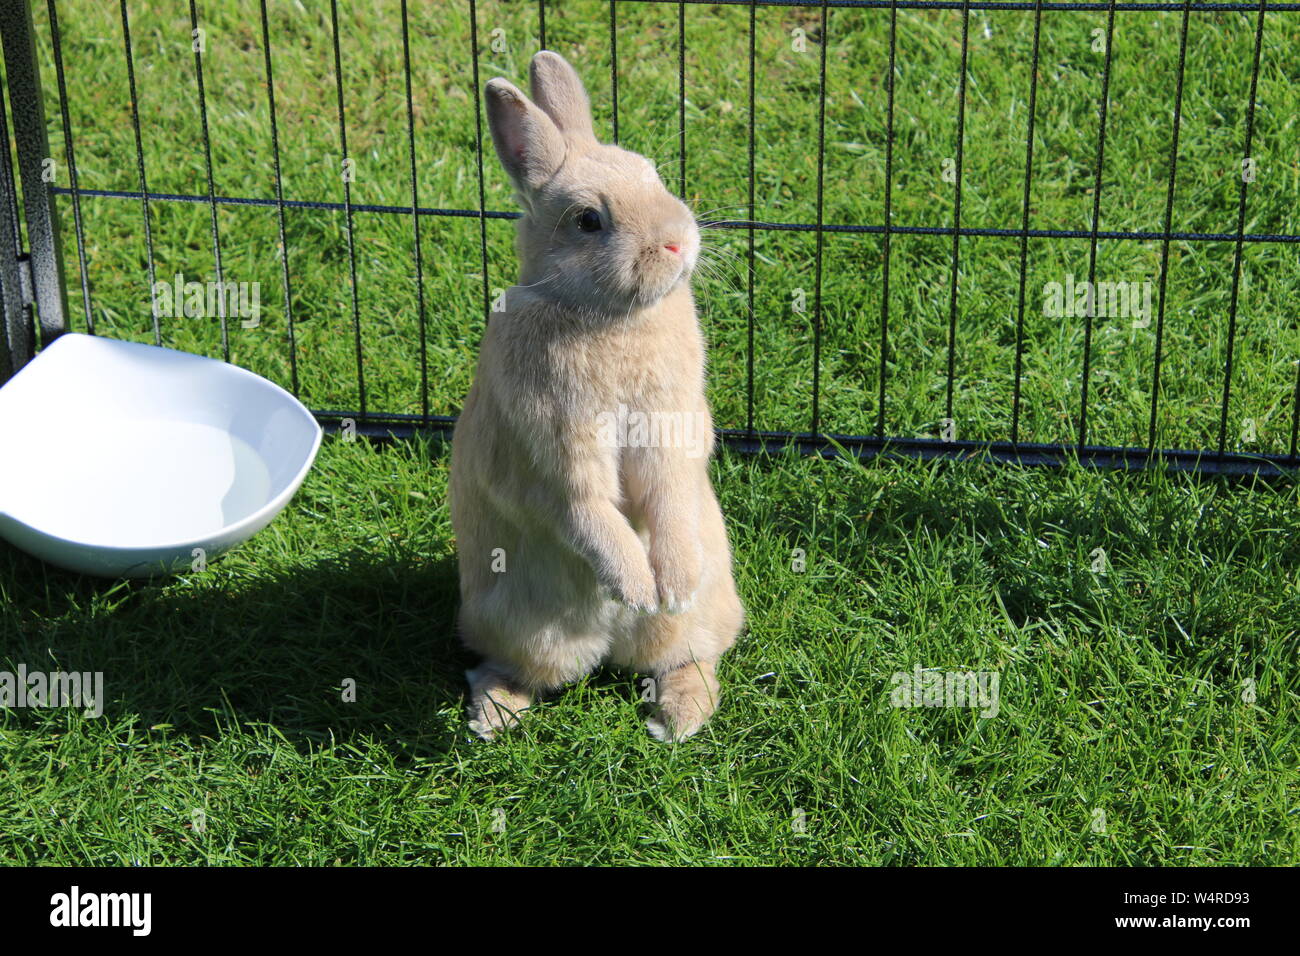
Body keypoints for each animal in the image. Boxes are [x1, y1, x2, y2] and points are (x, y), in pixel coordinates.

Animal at [448, 50, 744, 743]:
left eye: (653, 173)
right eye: (589, 221)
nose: (677, 241)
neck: (608, 318)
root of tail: (608, 651)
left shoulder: (670, 428)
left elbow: (668, 494)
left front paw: (668, 584)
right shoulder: (557, 447)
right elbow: (583, 507)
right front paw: (636, 584)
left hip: (695, 620)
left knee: (691, 659)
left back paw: (676, 716)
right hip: (517, 625)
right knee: (513, 668)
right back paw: (494, 713)